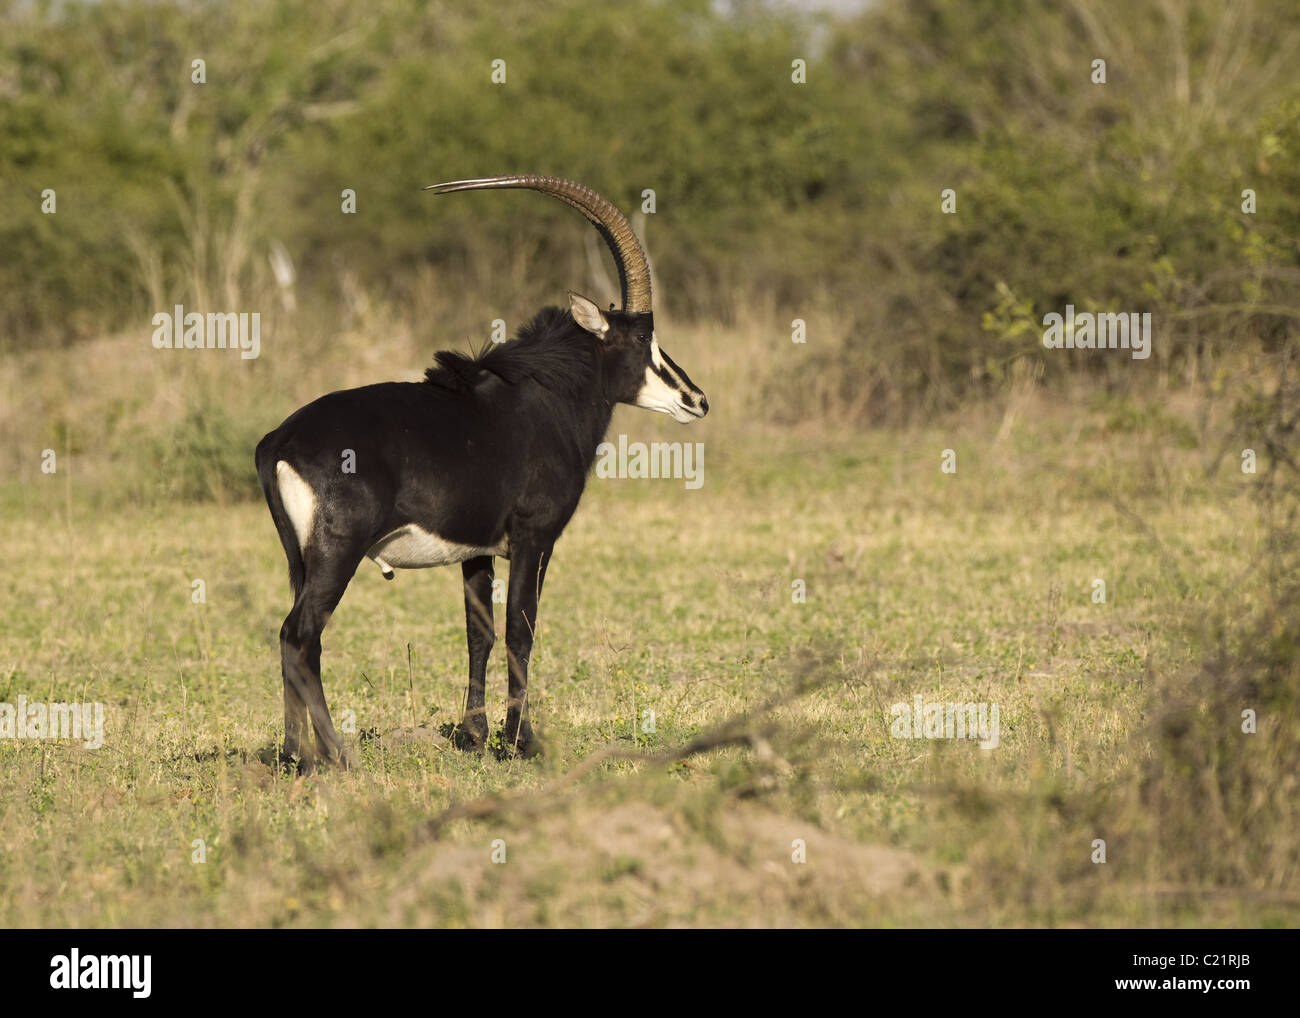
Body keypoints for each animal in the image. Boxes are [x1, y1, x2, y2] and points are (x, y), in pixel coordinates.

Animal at [255, 175, 708, 770]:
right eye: (640, 340)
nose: (697, 400)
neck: (543, 397)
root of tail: (277, 440)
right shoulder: (534, 538)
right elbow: (521, 629)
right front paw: (520, 740)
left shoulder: (475, 551)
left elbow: (480, 633)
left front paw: (475, 735)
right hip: (337, 552)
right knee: (299, 635)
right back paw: (336, 755)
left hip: (303, 560)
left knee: (298, 640)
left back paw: (295, 755)